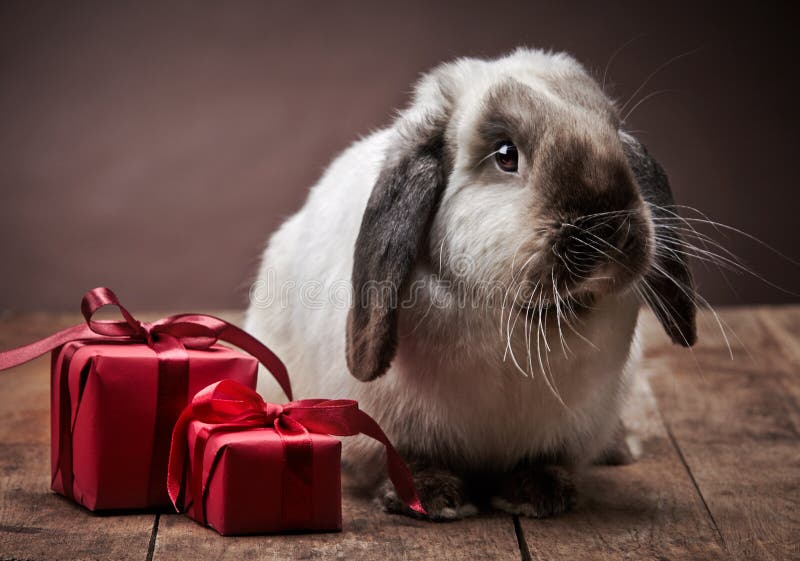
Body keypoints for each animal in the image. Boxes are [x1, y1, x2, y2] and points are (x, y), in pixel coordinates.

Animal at [244, 48, 696, 520]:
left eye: (613, 135)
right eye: (506, 154)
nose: (610, 226)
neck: (523, 321)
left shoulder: (571, 425)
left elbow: (545, 459)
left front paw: (538, 495)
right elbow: (405, 459)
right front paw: (433, 498)